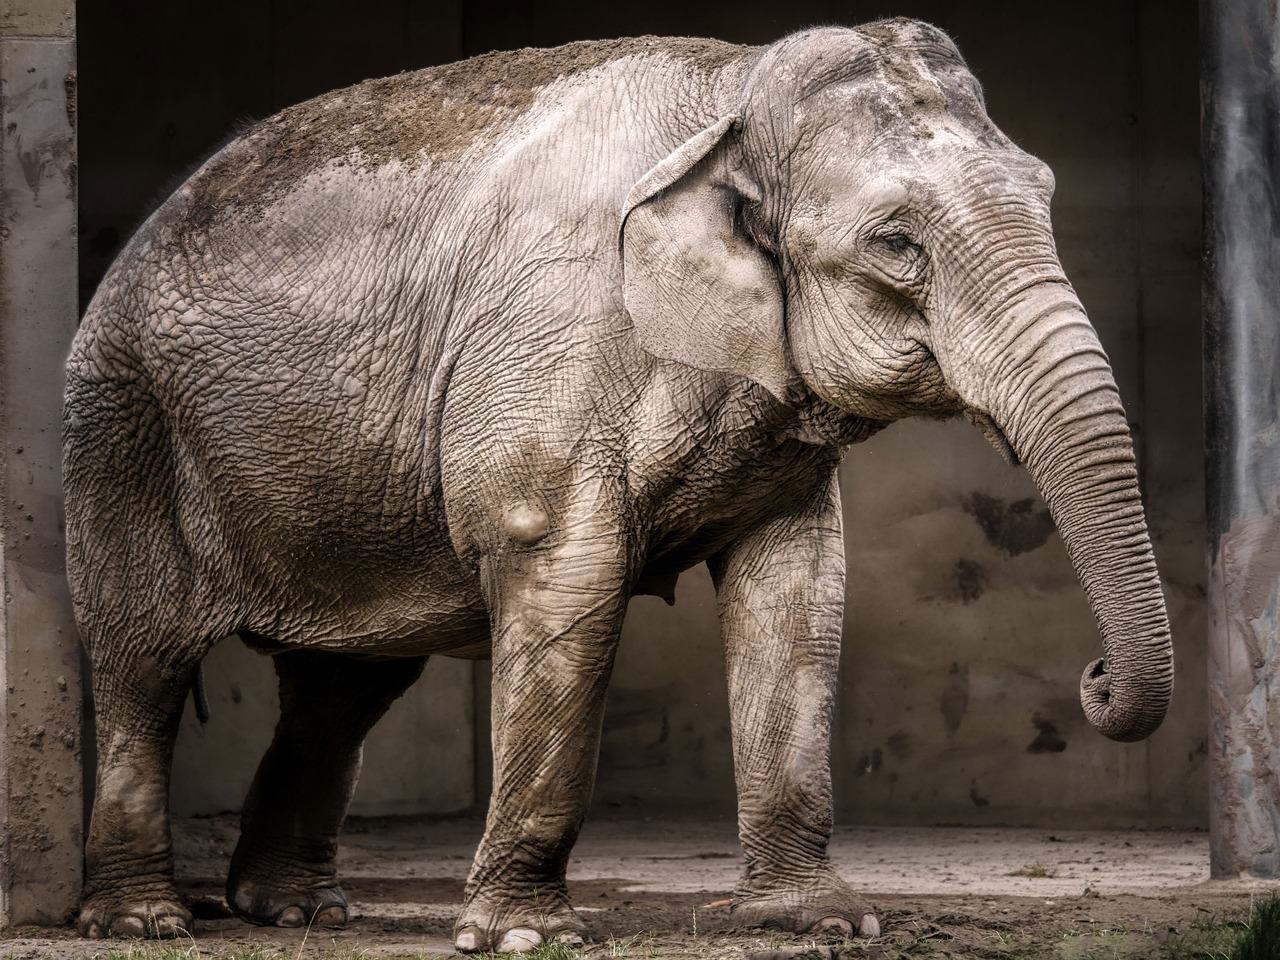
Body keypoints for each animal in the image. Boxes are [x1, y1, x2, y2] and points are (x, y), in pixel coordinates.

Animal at [64, 17, 1173, 953]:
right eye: (896, 242)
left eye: (1042, 195)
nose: (1092, 678)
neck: (731, 92)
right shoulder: (547, 353)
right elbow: (567, 574)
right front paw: (525, 937)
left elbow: (797, 594)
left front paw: (822, 924)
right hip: (118, 428)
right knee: (143, 660)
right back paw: (144, 922)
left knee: (347, 681)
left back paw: (296, 911)